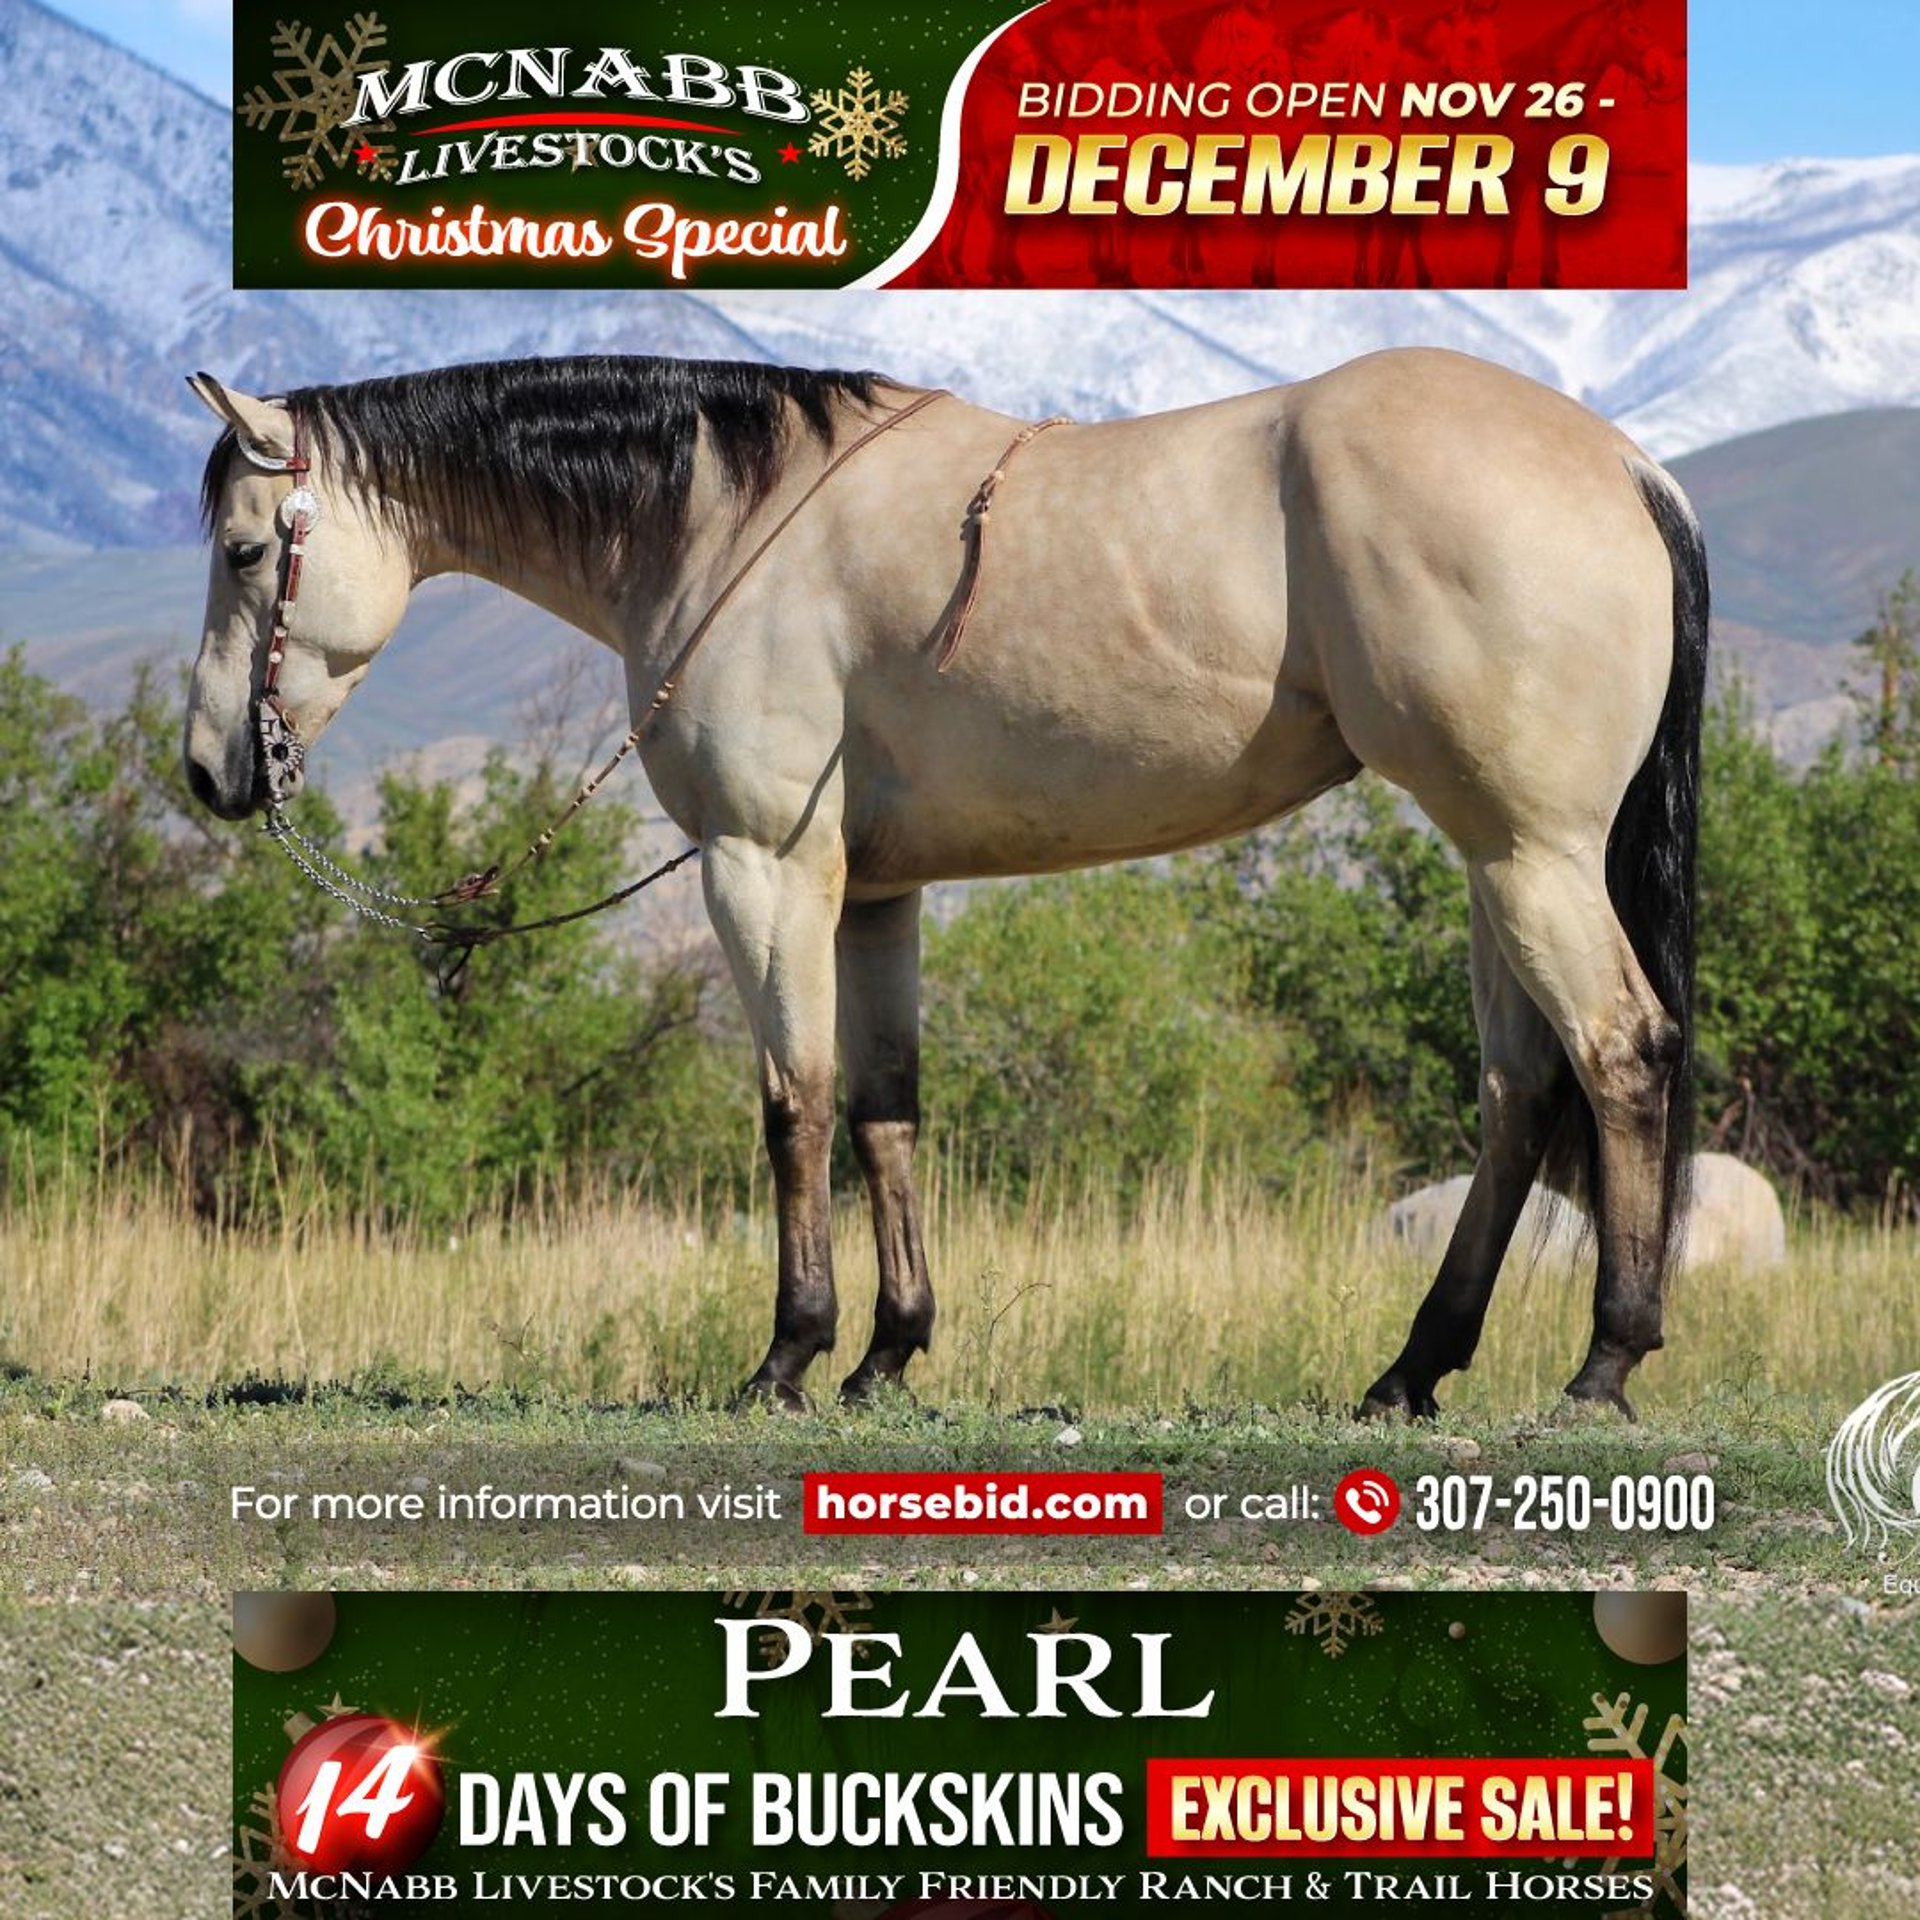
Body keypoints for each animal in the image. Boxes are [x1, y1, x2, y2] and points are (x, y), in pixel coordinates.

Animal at [185, 348, 1706, 1419]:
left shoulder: (764, 872)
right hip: (1496, 861)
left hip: (1527, 853)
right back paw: (1412, 1370)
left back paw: (1605, 1364)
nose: (209, 770)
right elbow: (884, 1114)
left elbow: (793, 1109)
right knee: (1521, 1093)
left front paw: (788, 1356)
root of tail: (1631, 466)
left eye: (247, 549)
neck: (727, 525)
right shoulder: (873, 896)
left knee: (1622, 1051)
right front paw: (887, 1354)